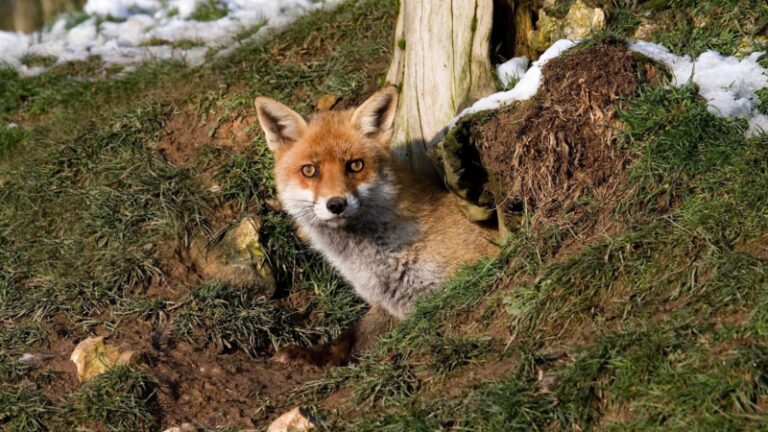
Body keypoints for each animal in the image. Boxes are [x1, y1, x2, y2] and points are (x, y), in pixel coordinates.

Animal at [253, 87, 498, 365]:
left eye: (355, 165)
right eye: (309, 170)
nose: (336, 204)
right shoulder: (388, 307)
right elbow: (349, 338)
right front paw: (311, 356)